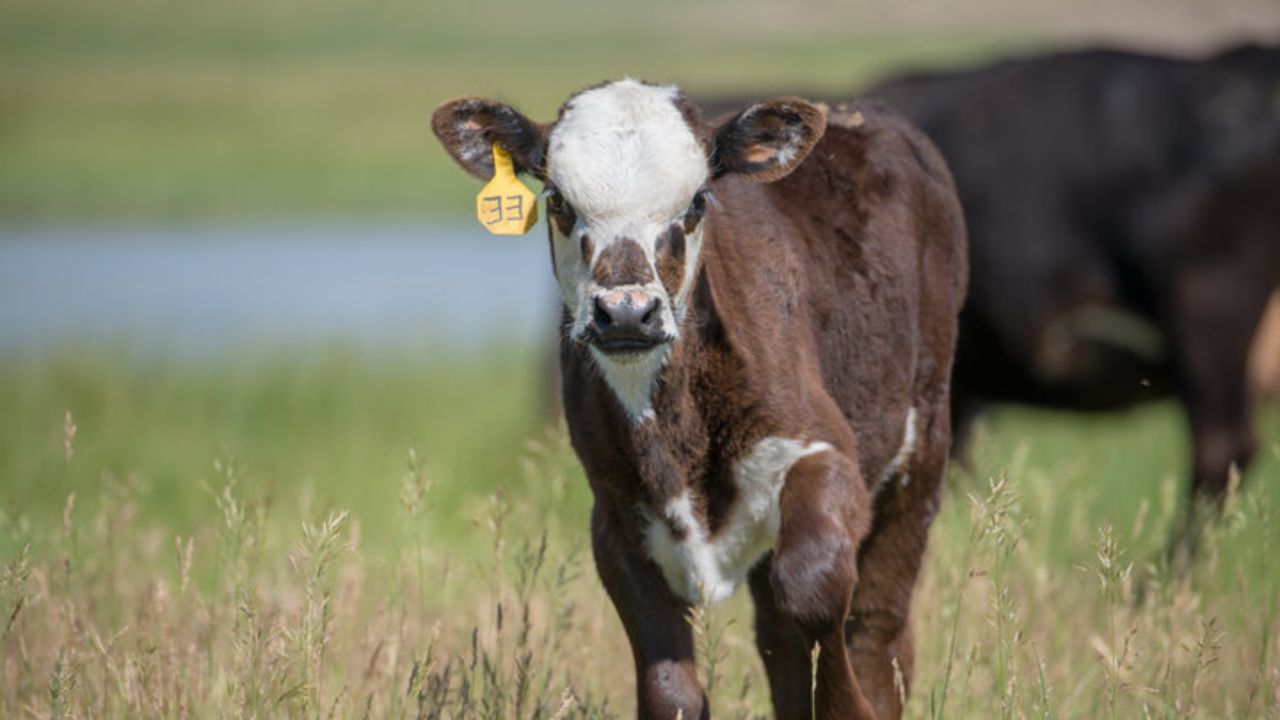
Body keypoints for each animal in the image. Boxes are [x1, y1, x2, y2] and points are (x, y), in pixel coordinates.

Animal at [432, 79, 967, 719]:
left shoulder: (824, 452)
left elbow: (812, 586)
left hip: (921, 449)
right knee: (782, 640)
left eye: (695, 203)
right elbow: (671, 689)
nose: (627, 312)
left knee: (878, 628)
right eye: (558, 200)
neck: (674, 439)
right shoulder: (617, 517)